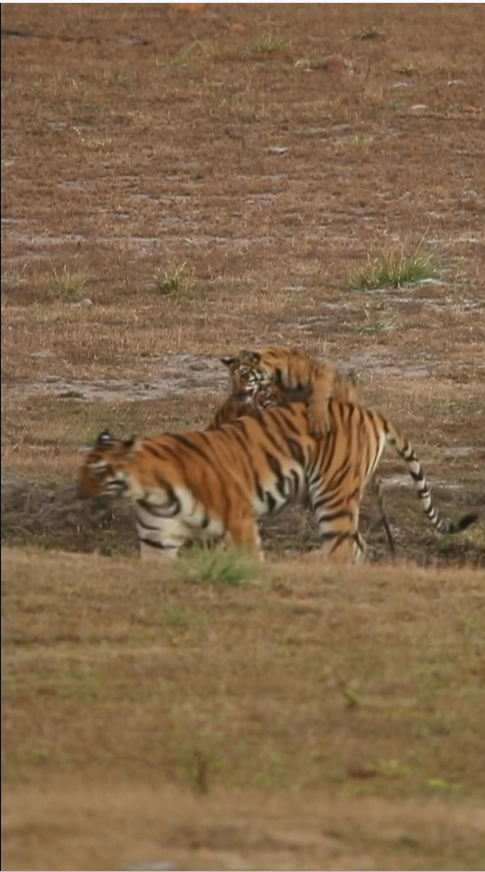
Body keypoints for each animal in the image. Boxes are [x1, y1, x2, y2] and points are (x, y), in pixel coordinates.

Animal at [78, 401, 477, 565]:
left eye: (98, 471)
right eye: (83, 469)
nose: (79, 493)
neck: (149, 491)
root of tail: (369, 412)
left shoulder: (239, 521)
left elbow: (251, 560)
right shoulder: (156, 541)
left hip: (332, 496)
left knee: (341, 549)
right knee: (356, 546)